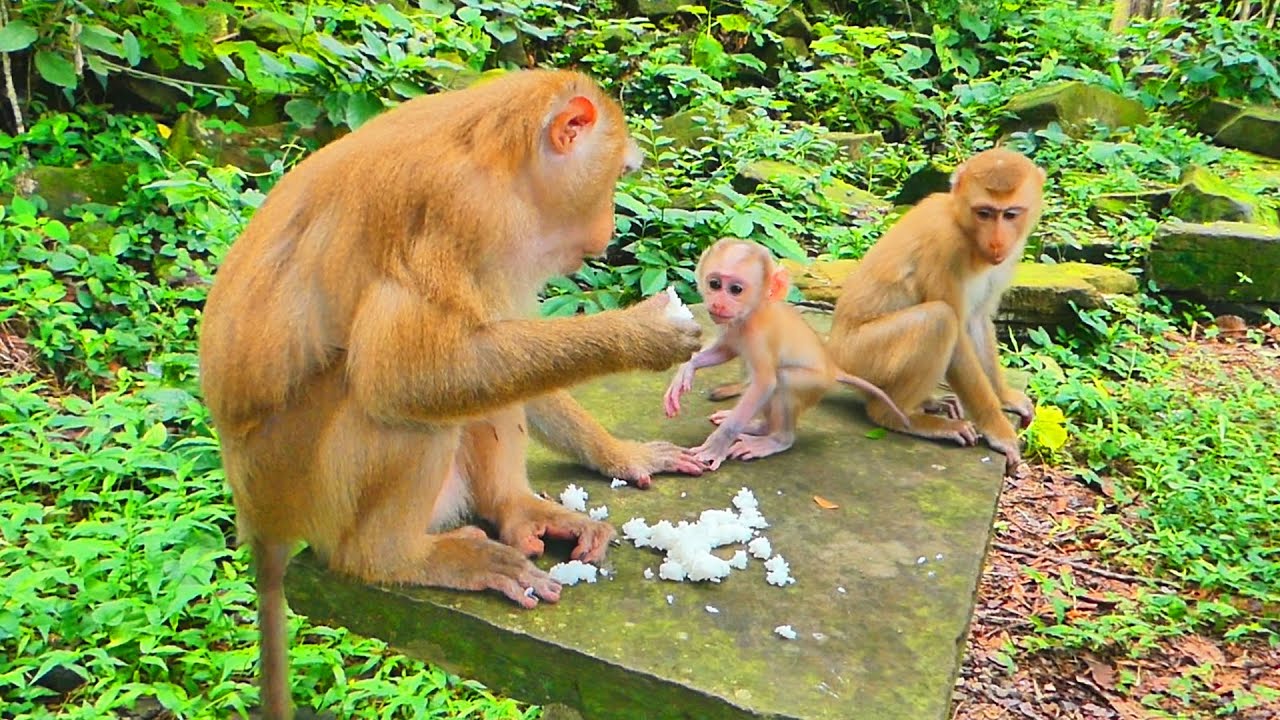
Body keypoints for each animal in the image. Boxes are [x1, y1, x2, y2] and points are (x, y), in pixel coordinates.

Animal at [198, 70, 704, 720]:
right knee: (392, 406)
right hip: (299, 484)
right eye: (615, 175)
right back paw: (393, 557)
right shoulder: (461, 214)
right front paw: (638, 335)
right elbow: (402, 375)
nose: (608, 230)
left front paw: (624, 454)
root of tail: (255, 517)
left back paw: (514, 508)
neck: (496, 157)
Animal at [662, 238, 909, 471]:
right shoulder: (731, 326)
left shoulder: (758, 336)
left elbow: (764, 383)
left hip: (815, 383)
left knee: (783, 380)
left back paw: (778, 439)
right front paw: (687, 370)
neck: (752, 314)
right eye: (714, 284)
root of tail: (833, 368)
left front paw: (717, 446)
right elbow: (726, 350)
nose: (718, 304)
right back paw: (761, 427)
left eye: (735, 290)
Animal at [825, 147, 1045, 474]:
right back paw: (899, 416)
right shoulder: (944, 246)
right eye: (984, 213)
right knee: (939, 319)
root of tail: (832, 354)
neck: (964, 229)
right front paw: (999, 430)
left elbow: (976, 321)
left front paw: (1004, 397)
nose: (996, 242)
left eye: (1010, 214)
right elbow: (959, 337)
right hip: (861, 357)